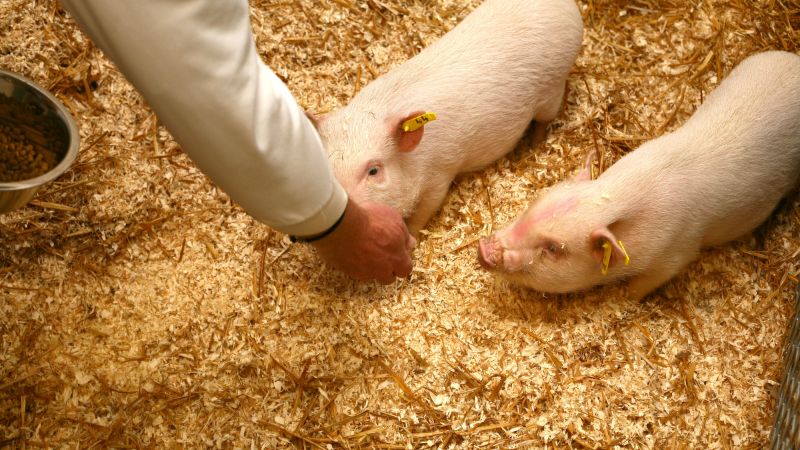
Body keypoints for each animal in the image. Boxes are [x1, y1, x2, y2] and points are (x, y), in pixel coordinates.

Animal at [310, 0, 584, 235]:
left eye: (374, 170)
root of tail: (569, 7)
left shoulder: (440, 174)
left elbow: (425, 211)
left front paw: (412, 237)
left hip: (553, 87)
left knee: (545, 118)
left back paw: (531, 147)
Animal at [477, 50, 800, 300]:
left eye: (554, 248)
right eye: (532, 206)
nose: (484, 248)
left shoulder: (675, 255)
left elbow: (643, 285)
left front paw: (627, 299)